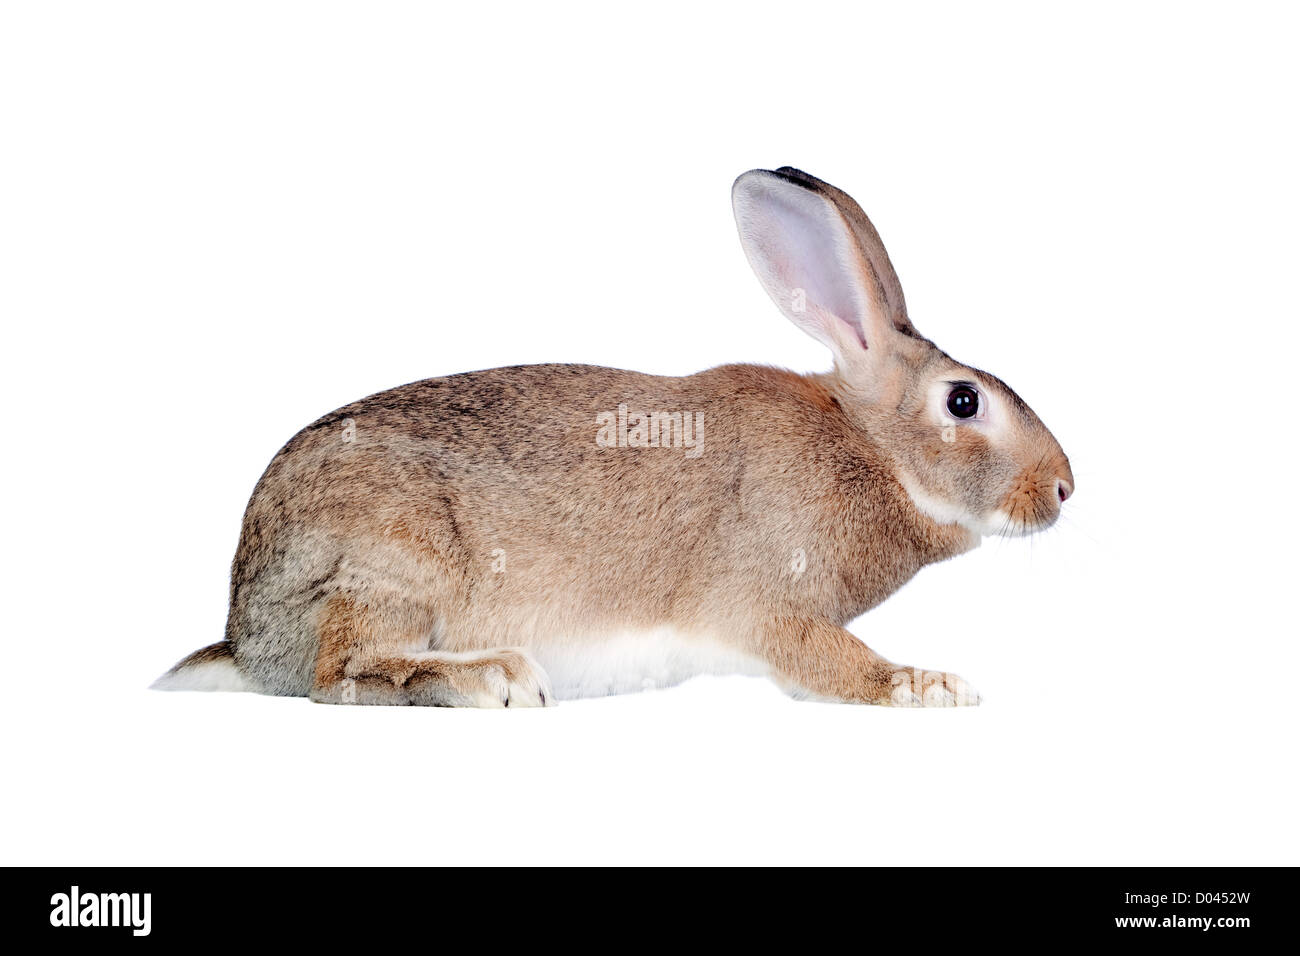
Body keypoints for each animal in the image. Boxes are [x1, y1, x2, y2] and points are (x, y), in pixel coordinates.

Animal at [153, 167, 1072, 708]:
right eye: (964, 403)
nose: (1065, 488)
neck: (874, 449)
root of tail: (246, 631)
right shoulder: (768, 608)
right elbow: (834, 662)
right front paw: (932, 686)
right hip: (389, 562)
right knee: (339, 673)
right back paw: (491, 678)